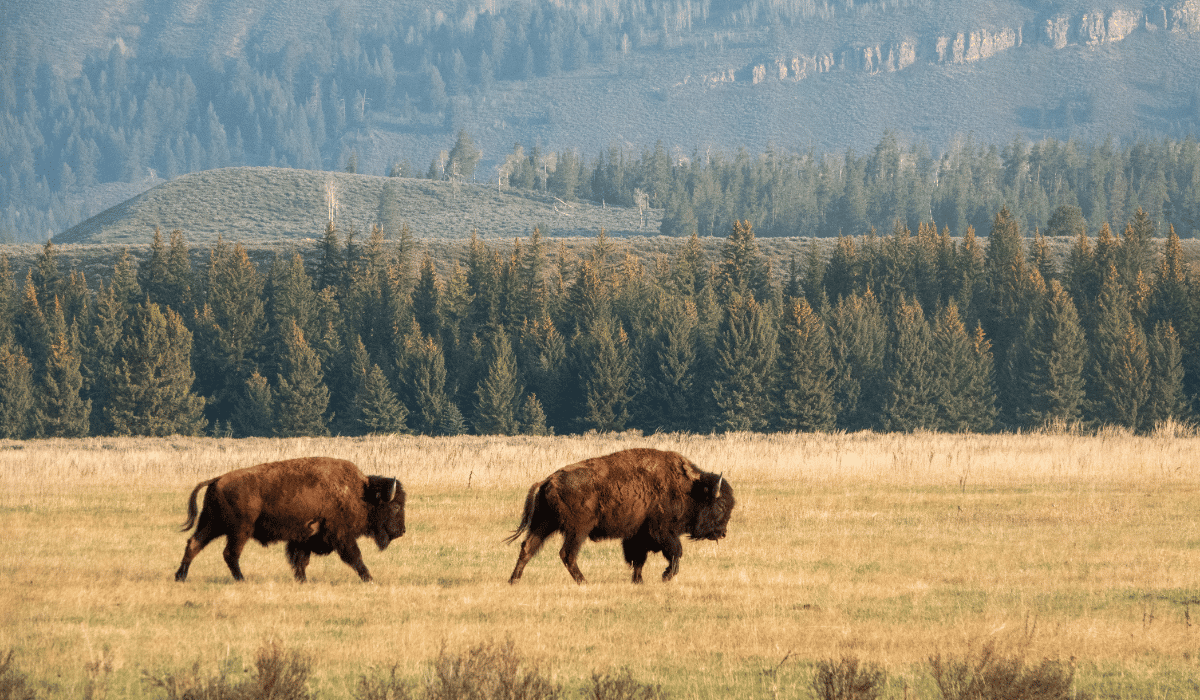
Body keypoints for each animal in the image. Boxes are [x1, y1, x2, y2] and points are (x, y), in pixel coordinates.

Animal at [174, 457, 405, 583]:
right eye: (395, 506)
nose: (402, 531)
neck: (361, 492)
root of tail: (217, 479)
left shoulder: (303, 538)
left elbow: (300, 561)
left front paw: (302, 581)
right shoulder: (342, 536)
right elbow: (355, 557)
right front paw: (370, 579)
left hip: (211, 525)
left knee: (193, 544)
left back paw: (180, 577)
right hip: (239, 530)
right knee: (230, 553)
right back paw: (242, 580)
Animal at [506, 448, 735, 584]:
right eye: (721, 505)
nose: (723, 533)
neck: (689, 487)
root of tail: (547, 480)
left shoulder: (638, 536)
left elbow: (639, 560)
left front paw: (638, 581)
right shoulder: (662, 531)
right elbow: (675, 552)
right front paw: (666, 576)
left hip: (544, 524)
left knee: (528, 548)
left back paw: (514, 580)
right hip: (578, 529)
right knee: (567, 554)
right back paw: (584, 582)